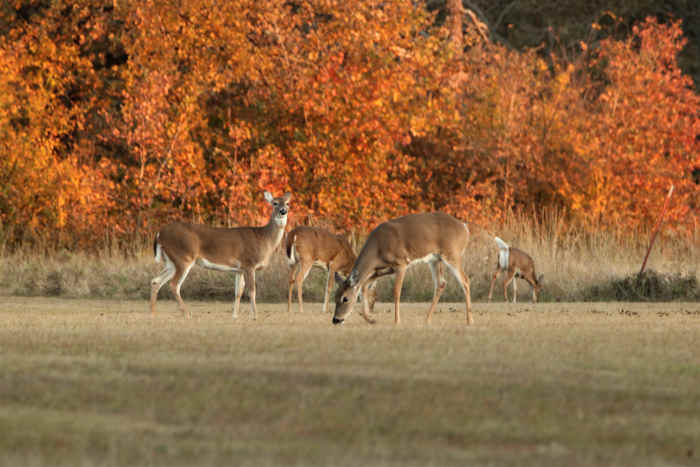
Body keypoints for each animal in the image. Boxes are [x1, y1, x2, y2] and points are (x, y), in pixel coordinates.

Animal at [149, 191, 292, 319]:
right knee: (174, 285)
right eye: (274, 203)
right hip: (183, 257)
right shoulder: (249, 264)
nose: (283, 211)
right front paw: (255, 316)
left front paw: (235, 316)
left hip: (171, 262)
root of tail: (160, 234)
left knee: (155, 281)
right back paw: (187, 314)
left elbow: (238, 292)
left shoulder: (239, 269)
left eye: (287, 203)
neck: (263, 238)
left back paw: (153, 314)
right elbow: (252, 291)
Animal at [332, 212, 473, 326]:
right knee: (441, 283)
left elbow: (396, 292)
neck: (377, 249)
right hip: (434, 259)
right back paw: (427, 320)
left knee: (465, 281)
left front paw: (396, 321)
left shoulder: (401, 263)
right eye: (335, 296)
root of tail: (465, 228)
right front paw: (370, 319)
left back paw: (469, 320)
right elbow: (364, 286)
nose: (335, 320)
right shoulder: (384, 269)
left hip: (452, 254)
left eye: (345, 299)